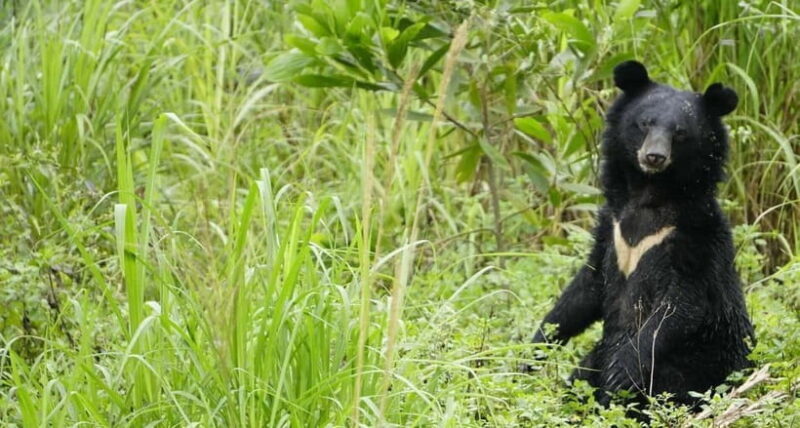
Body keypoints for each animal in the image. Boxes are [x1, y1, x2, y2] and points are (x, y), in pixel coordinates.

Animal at [528, 61, 755, 410]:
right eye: (645, 123)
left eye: (680, 132)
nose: (654, 157)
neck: (649, 195)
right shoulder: (610, 228)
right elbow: (584, 290)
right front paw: (531, 351)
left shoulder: (694, 239)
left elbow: (680, 307)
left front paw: (621, 370)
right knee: (579, 381)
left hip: (693, 369)